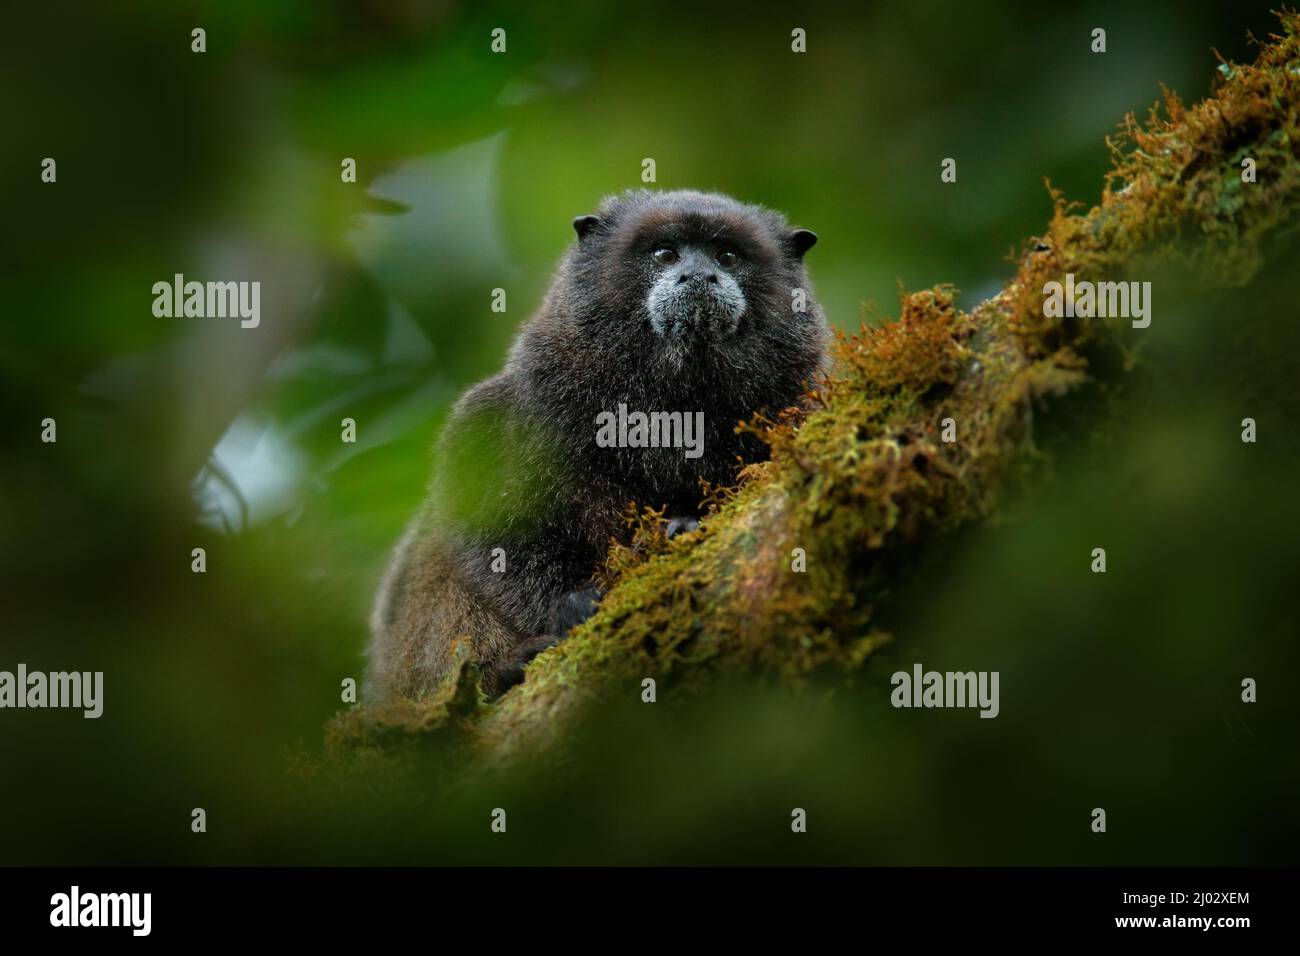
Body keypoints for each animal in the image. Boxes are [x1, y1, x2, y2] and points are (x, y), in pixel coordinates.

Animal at [367, 189, 828, 700]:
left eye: (727, 255)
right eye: (665, 253)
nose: (699, 275)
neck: (673, 403)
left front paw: (683, 523)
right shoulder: (529, 397)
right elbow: (484, 520)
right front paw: (568, 604)